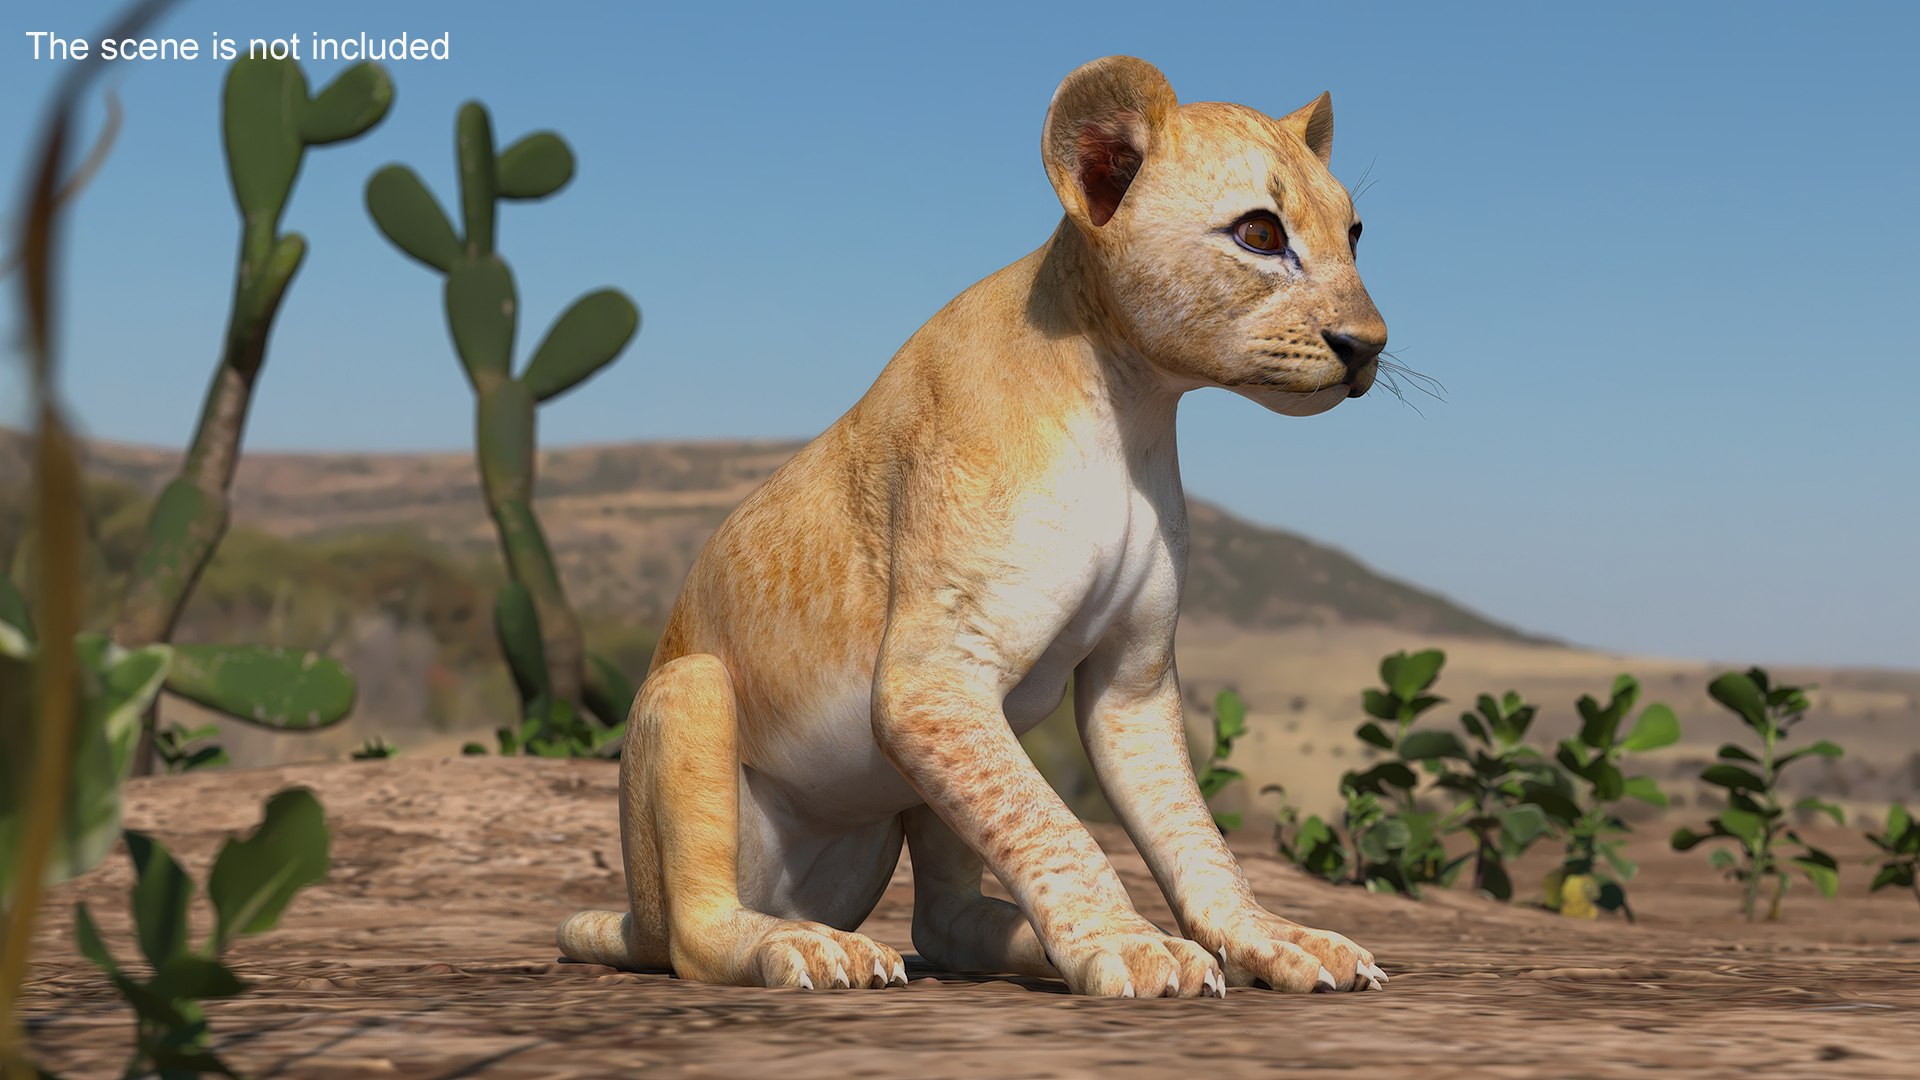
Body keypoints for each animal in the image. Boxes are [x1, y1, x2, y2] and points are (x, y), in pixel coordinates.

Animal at [558, 55, 1389, 997]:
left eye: (1355, 233)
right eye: (1259, 233)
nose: (1368, 346)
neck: (1129, 400)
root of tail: (638, 910)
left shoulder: (1129, 683)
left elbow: (1190, 832)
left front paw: (1269, 938)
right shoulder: (931, 683)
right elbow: (1053, 825)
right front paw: (1132, 944)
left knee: (946, 923)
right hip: (693, 697)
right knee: (700, 933)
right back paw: (811, 946)